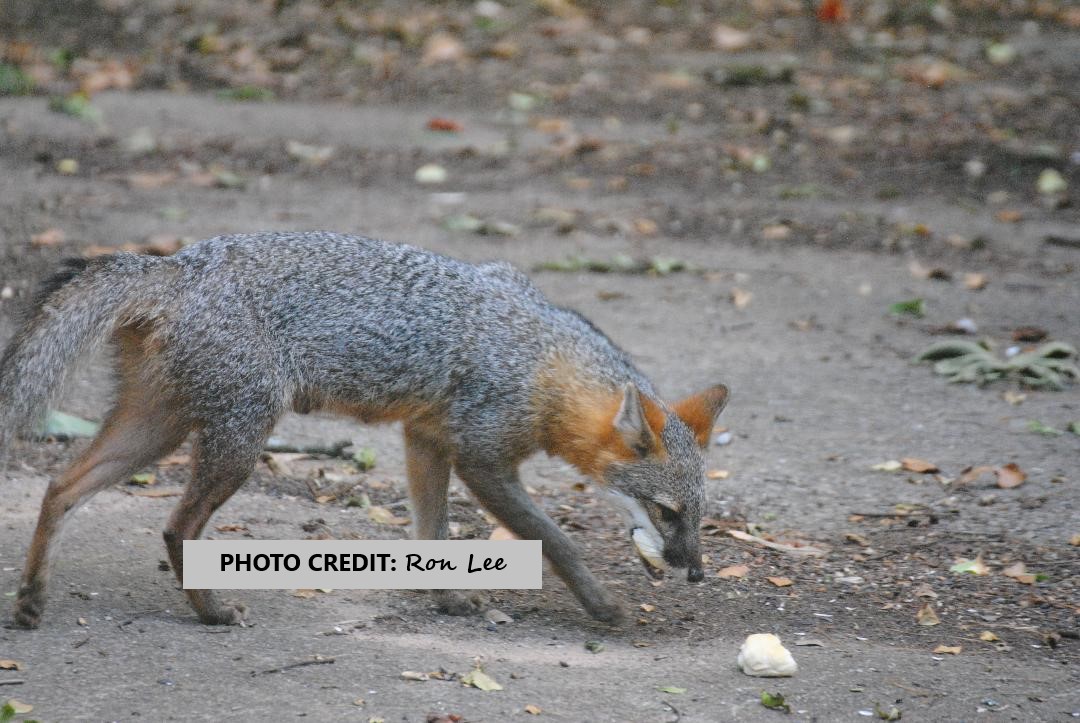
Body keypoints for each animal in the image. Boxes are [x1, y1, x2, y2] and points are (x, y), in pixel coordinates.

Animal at [0, 232, 728, 628]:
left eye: (699, 514)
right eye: (667, 512)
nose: (695, 573)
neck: (542, 354)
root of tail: (173, 264)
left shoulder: (426, 440)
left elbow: (433, 535)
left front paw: (446, 600)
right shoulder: (481, 459)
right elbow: (554, 538)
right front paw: (601, 604)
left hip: (160, 429)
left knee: (61, 487)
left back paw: (32, 600)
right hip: (237, 441)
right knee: (176, 527)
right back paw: (209, 612)